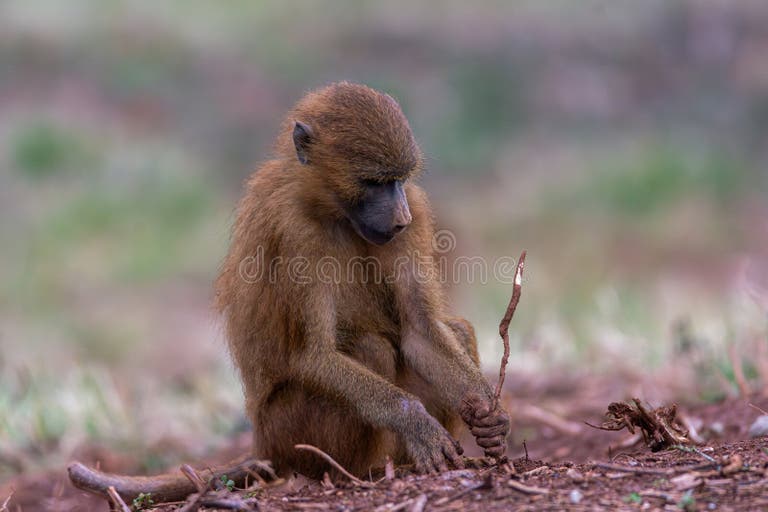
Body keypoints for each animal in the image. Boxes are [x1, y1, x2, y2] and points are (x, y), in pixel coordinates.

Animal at [67, 82, 510, 502]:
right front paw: (415, 421)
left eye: (398, 180)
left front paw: (489, 414)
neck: (333, 210)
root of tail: (263, 445)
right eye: (371, 182)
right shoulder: (292, 228)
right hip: (288, 430)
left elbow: (421, 330)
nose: (400, 219)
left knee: (454, 328)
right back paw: (354, 473)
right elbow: (313, 354)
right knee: (370, 349)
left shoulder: (415, 210)